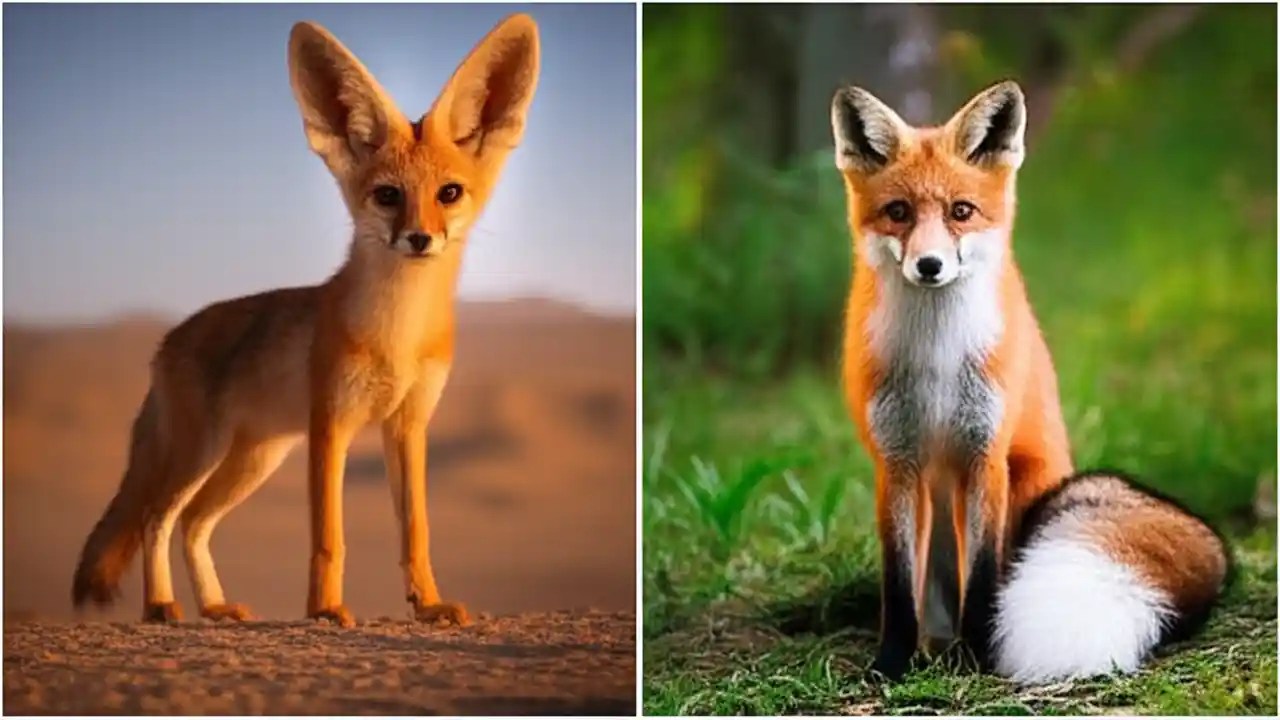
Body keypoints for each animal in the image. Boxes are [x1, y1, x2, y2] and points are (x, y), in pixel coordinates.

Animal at [71, 14, 540, 628]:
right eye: (387, 195)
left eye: (449, 193)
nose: (419, 239)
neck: (396, 337)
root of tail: (167, 342)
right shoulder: (330, 425)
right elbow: (328, 535)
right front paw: (325, 609)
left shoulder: (408, 426)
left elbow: (416, 530)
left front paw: (428, 604)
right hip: (204, 452)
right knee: (157, 516)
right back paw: (160, 606)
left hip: (255, 459)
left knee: (194, 522)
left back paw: (214, 606)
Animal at [829, 81, 1229, 683]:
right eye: (898, 212)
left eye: (961, 212)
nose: (929, 266)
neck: (936, 360)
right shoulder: (895, 463)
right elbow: (899, 588)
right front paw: (890, 664)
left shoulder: (986, 455)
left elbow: (983, 574)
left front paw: (978, 655)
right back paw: (932, 646)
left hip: (1025, 489)